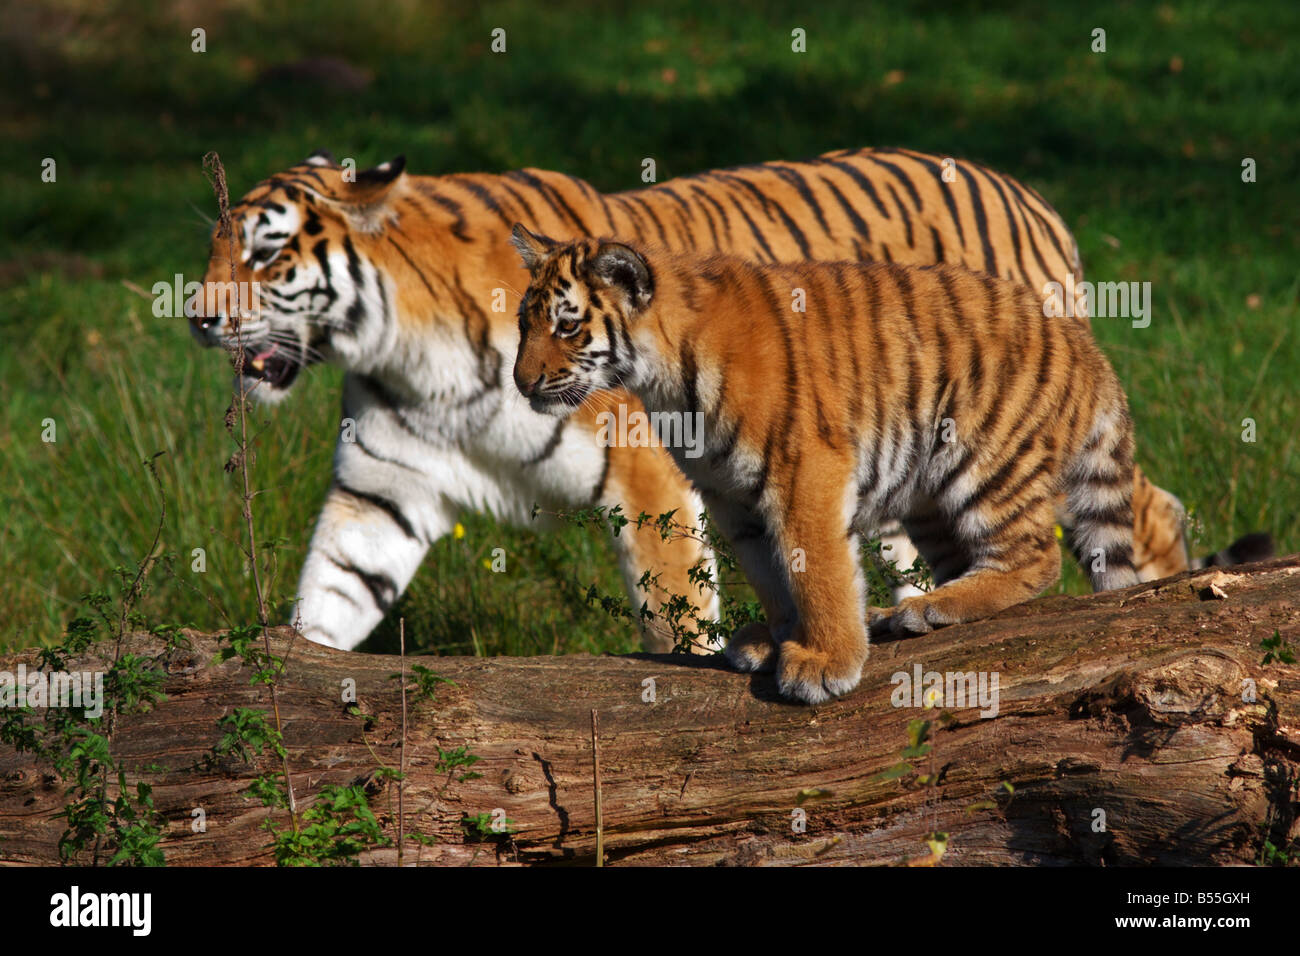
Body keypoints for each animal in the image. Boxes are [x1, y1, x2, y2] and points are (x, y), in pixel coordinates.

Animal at [189, 147, 1268, 653]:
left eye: (265, 252)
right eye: (216, 247)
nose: (195, 318)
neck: (414, 351)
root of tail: (1027, 193)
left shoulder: (652, 481)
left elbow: (674, 619)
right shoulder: (383, 487)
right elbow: (330, 598)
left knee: (1140, 511)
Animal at [509, 226, 1141, 703]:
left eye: (568, 325)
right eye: (523, 324)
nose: (521, 382)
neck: (662, 379)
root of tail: (1087, 347)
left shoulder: (804, 468)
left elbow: (817, 569)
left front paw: (825, 661)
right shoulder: (729, 495)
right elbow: (769, 574)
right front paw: (775, 639)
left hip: (984, 462)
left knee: (1035, 558)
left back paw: (929, 608)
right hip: (929, 498)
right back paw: (905, 613)